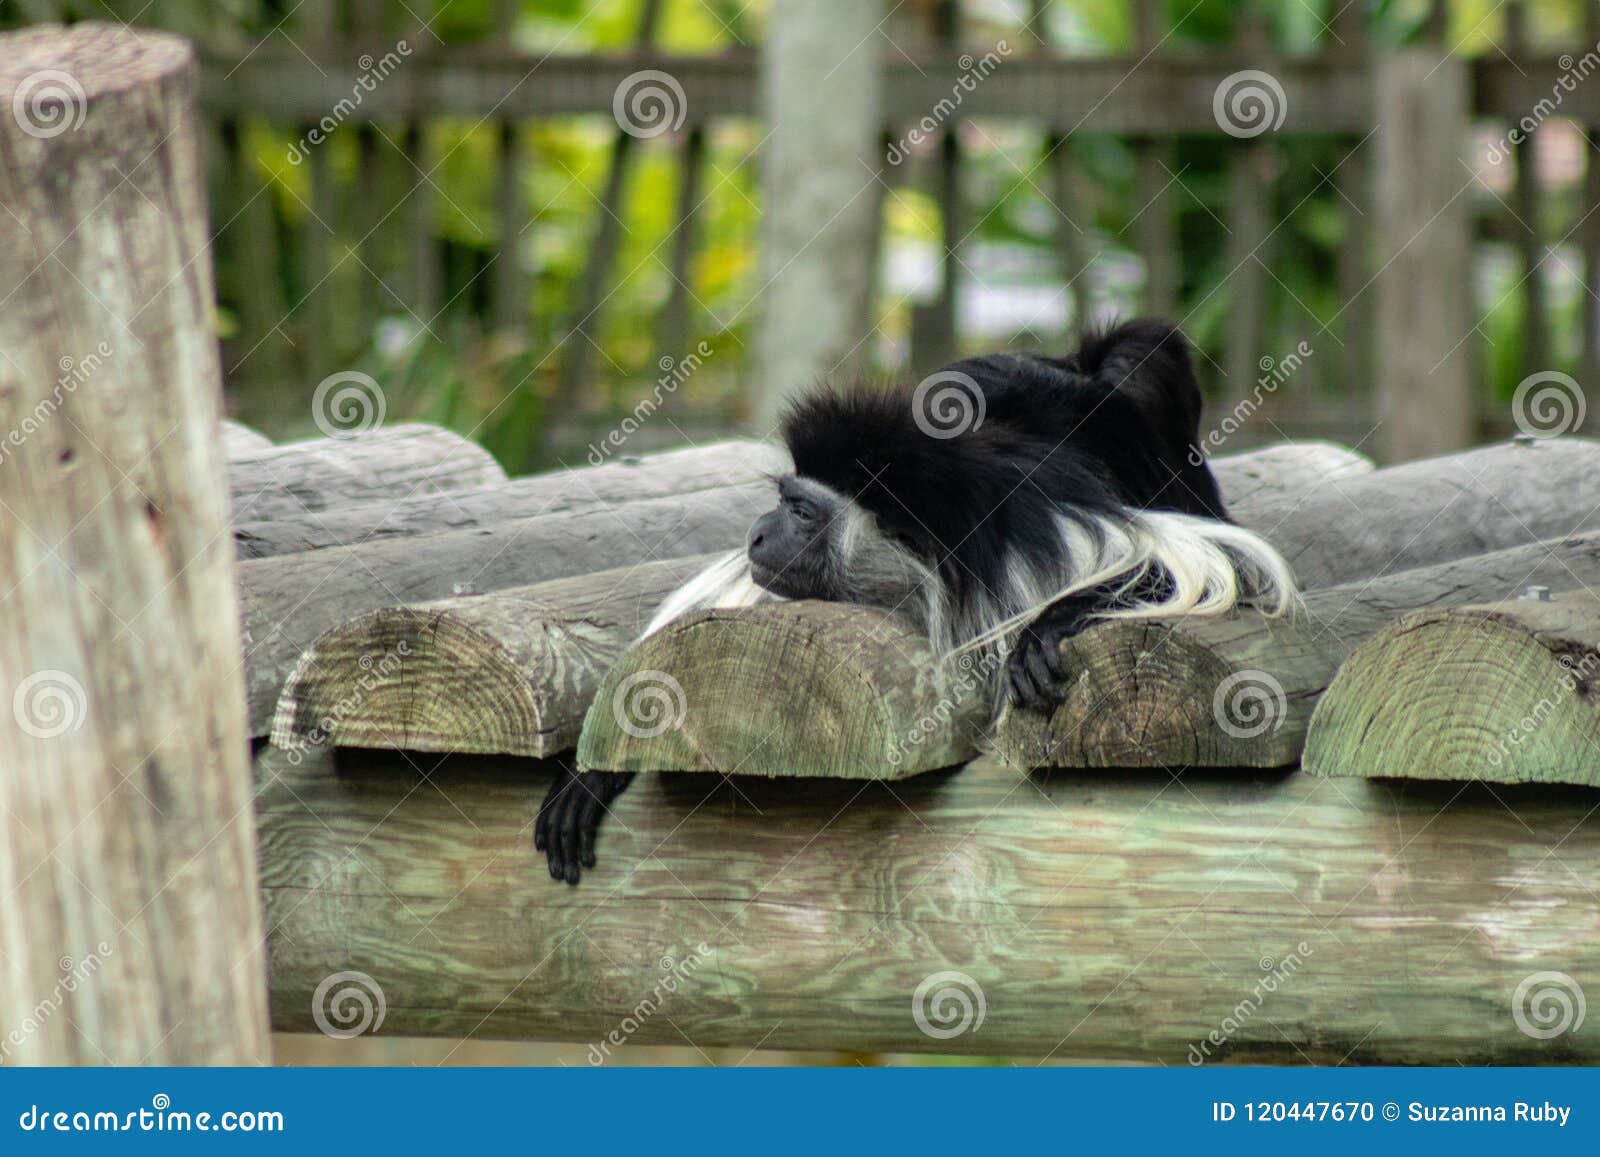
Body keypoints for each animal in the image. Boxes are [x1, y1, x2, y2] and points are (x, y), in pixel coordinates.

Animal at [536, 319, 1296, 883]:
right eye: (783, 500)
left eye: (801, 512)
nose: (756, 533)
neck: (917, 566)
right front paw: (594, 774)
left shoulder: (1018, 542)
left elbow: (1215, 563)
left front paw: (1048, 631)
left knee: (1140, 362)